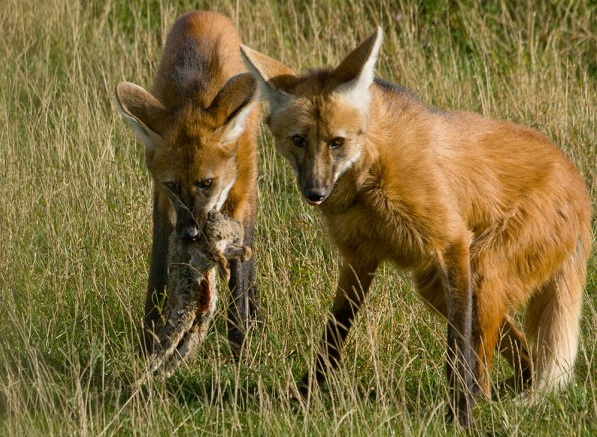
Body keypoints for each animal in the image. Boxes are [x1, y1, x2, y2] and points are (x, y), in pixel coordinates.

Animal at [114, 11, 258, 358]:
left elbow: (240, 279)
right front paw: (148, 342)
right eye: (173, 185)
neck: (195, 95)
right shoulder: (163, 204)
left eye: (206, 182)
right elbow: (157, 273)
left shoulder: (239, 199)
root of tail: (205, 13)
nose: (191, 234)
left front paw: (240, 349)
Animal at [239, 29, 592, 424]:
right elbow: (333, 334)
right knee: (522, 354)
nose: (315, 192)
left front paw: (461, 417)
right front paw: (304, 397)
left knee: (483, 365)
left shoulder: (453, 242)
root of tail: (577, 181)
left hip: (481, 272)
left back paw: (478, 403)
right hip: (437, 286)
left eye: (336, 142)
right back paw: (507, 393)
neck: (369, 175)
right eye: (298, 140)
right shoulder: (359, 258)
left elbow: (458, 346)